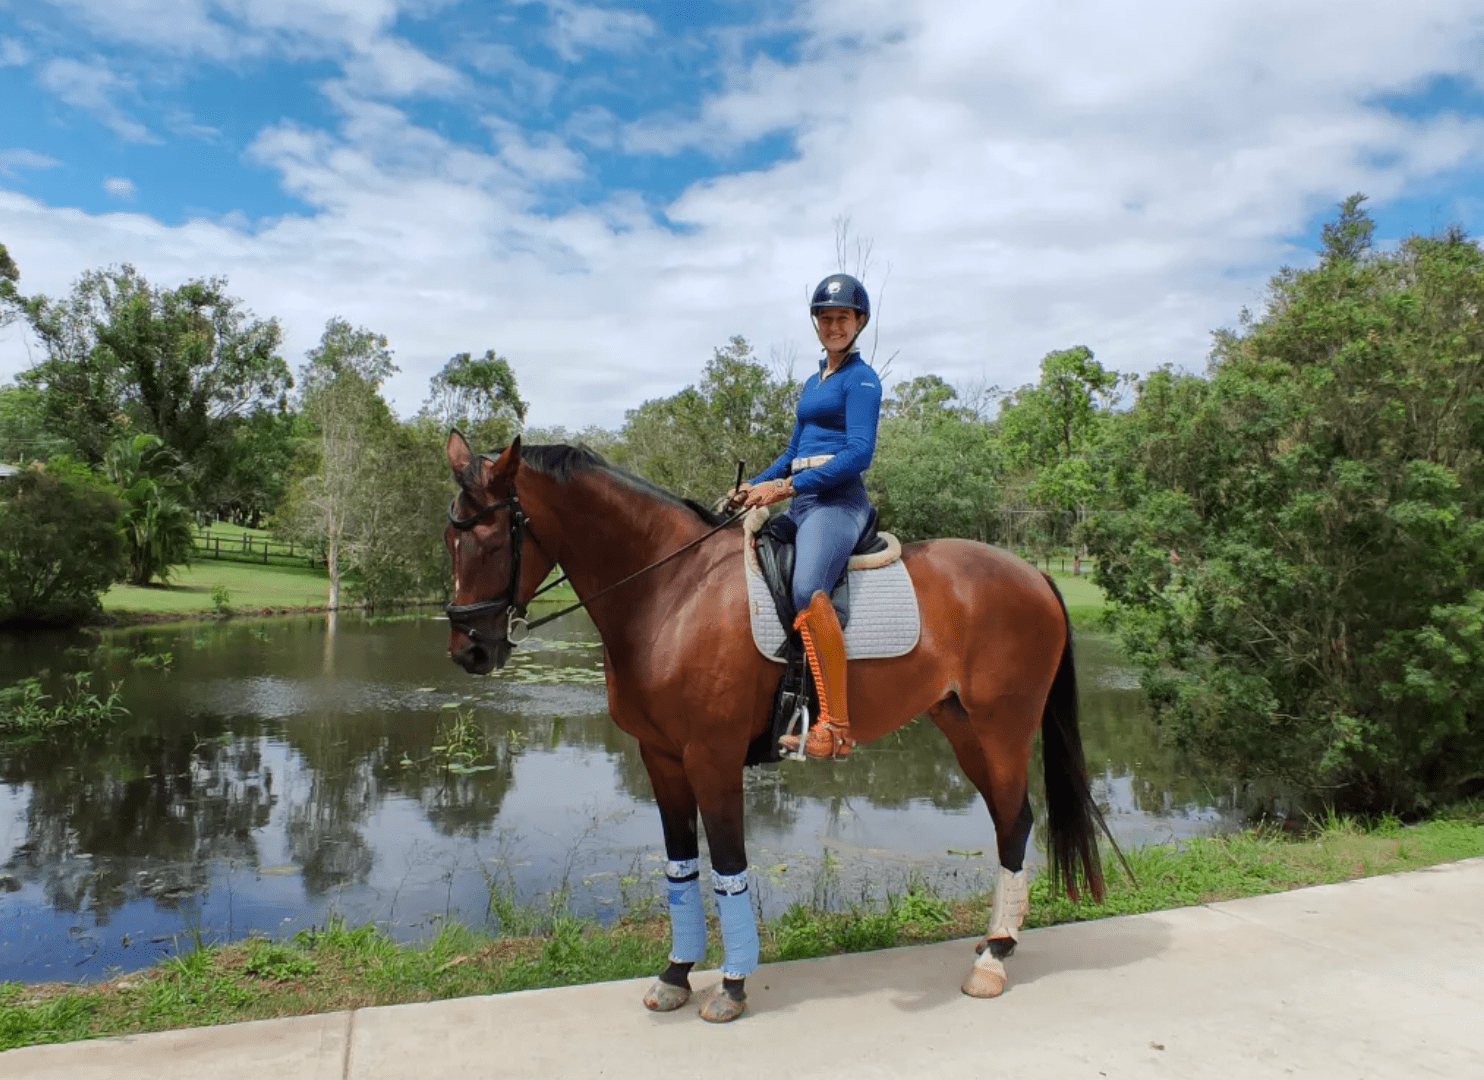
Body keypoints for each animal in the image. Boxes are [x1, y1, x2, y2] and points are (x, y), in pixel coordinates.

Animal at [441, 431, 1108, 1022]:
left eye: (493, 539)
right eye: (451, 538)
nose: (468, 651)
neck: (671, 591)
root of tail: (1032, 573)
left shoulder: (711, 756)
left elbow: (728, 865)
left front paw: (732, 987)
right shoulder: (660, 756)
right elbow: (681, 864)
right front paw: (675, 975)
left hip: (1003, 729)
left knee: (1015, 821)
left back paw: (994, 958)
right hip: (964, 727)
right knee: (1006, 821)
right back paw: (996, 941)